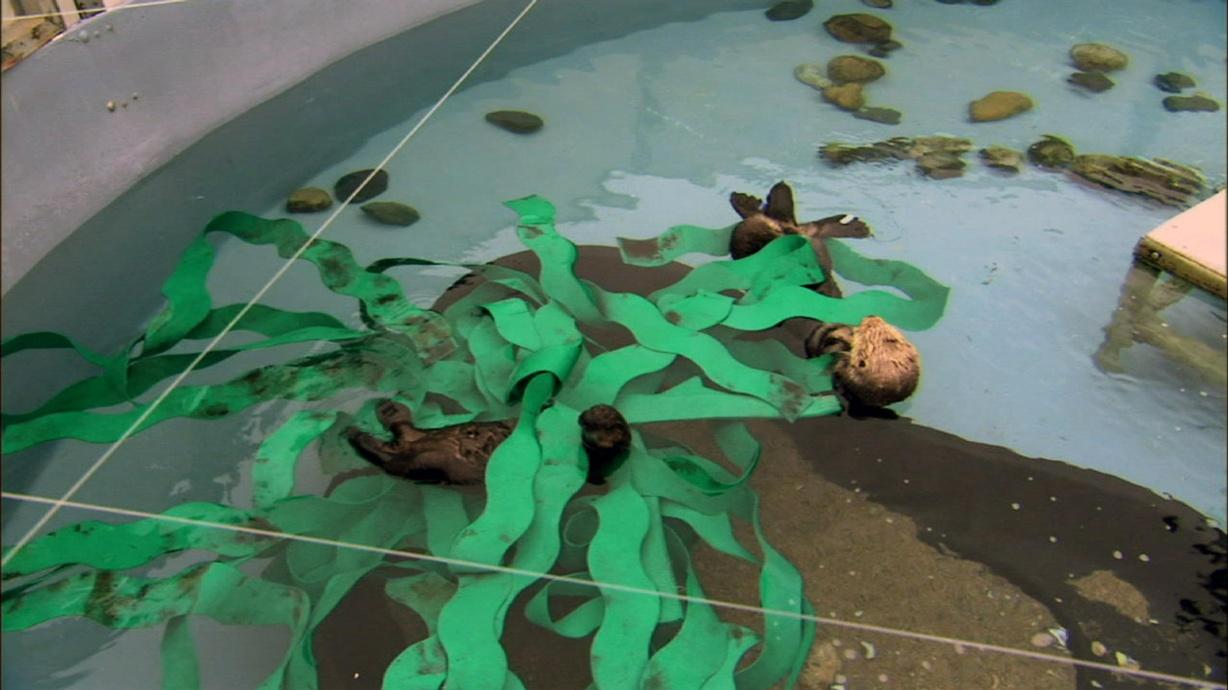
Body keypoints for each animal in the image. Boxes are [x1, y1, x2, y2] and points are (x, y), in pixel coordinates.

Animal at [345, 401, 631, 485]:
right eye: (593, 414)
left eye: (602, 426)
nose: (585, 416)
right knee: (400, 432)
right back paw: (387, 410)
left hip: (422, 461)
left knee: (389, 452)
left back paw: (356, 431)